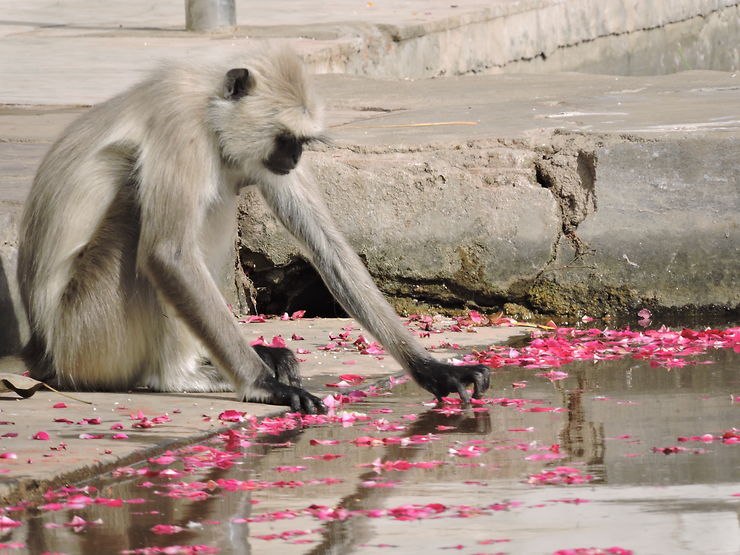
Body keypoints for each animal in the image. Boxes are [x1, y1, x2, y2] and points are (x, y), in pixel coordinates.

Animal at [17, 45, 489, 413]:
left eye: (300, 144)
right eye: (286, 139)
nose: (294, 159)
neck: (207, 103)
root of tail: (46, 355)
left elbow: (327, 244)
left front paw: (432, 369)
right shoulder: (182, 126)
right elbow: (167, 254)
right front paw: (266, 386)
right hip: (86, 334)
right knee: (147, 214)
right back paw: (178, 376)